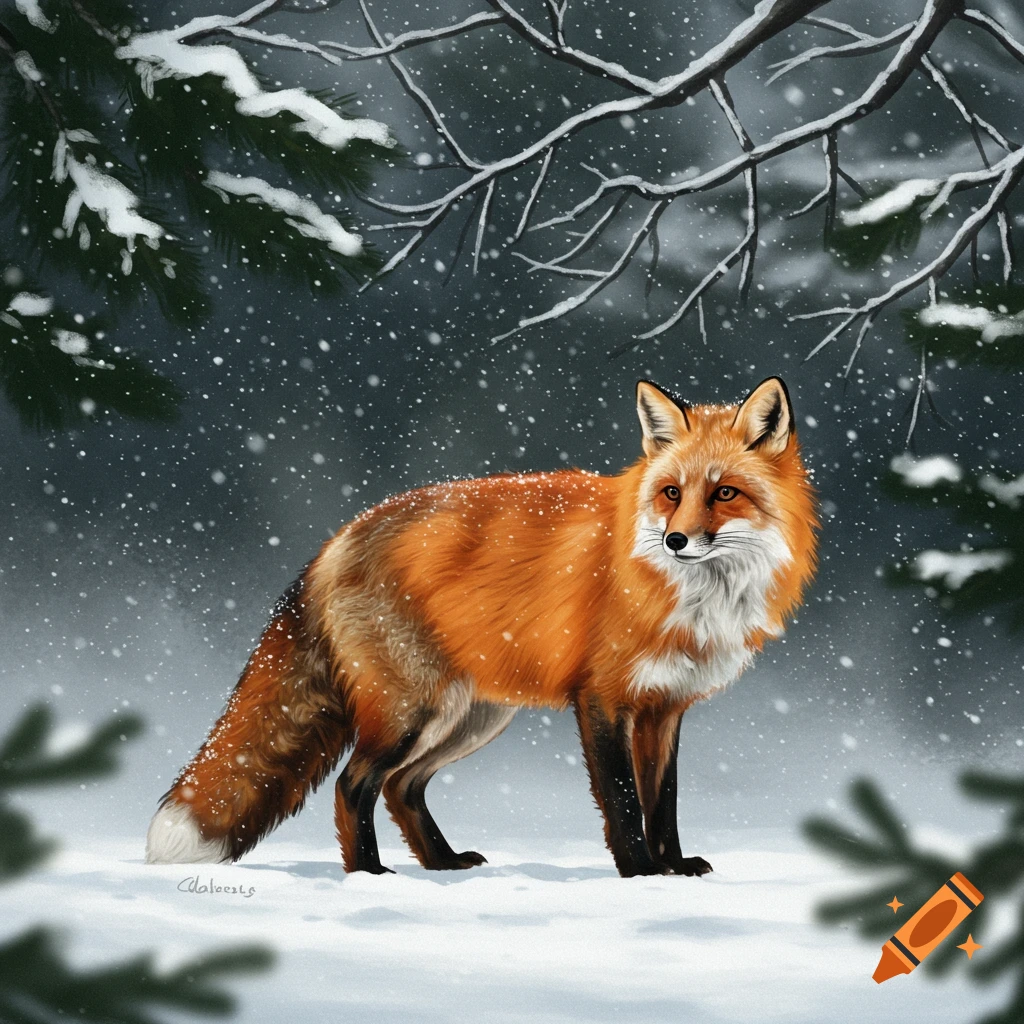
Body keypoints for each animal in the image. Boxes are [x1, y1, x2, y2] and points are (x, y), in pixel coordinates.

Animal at [146, 376, 818, 877]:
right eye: (672, 493)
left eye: (725, 493)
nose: (676, 540)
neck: (689, 598)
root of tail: (338, 538)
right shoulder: (602, 699)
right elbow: (625, 803)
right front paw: (639, 873)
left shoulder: (665, 708)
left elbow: (665, 801)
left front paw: (672, 868)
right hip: (414, 711)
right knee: (353, 785)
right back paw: (369, 874)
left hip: (470, 717)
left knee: (402, 788)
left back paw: (441, 863)